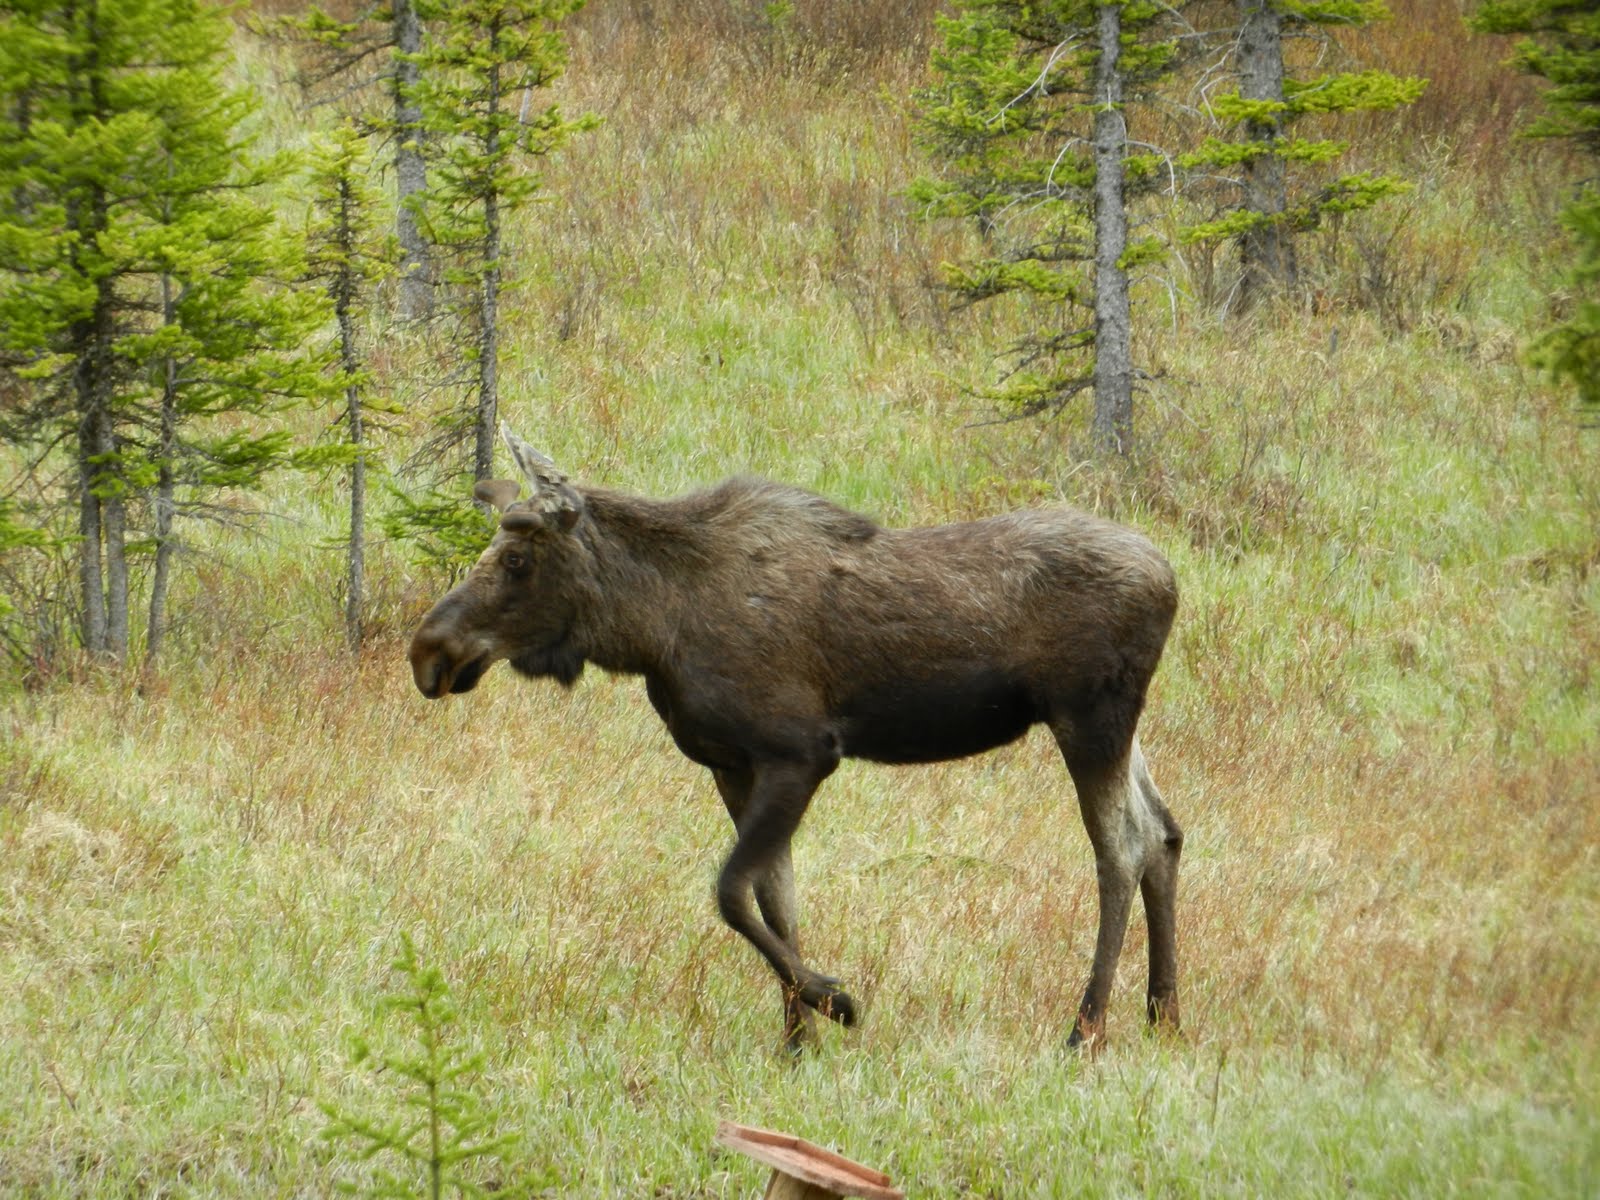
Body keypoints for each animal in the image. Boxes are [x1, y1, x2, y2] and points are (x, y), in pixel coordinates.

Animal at [409, 426, 1183, 1052]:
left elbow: (730, 892)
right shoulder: (732, 765)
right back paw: (1164, 1015)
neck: (654, 627)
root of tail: (1172, 579)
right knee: (1164, 832)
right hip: (1118, 728)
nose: (428, 652)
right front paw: (796, 1041)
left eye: (516, 561)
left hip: (1089, 718)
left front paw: (835, 1002)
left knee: (1121, 849)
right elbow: (773, 895)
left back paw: (1086, 1029)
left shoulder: (801, 752)